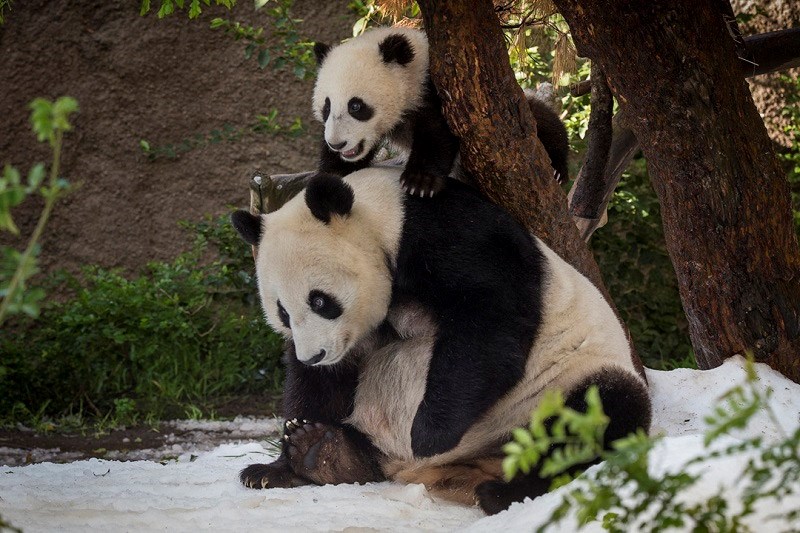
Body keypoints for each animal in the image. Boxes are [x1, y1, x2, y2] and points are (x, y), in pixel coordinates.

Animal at [231, 167, 651, 514]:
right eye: (283, 312)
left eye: (320, 301)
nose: (315, 354)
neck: (382, 218)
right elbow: (321, 382)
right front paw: (279, 462)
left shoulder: (454, 236)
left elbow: (490, 321)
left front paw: (429, 435)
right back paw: (325, 453)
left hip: (556, 387)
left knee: (602, 415)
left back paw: (505, 493)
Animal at [313, 26, 570, 196]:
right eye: (327, 106)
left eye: (356, 106)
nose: (337, 144)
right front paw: (333, 171)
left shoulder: (440, 89)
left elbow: (437, 132)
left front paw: (419, 181)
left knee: (543, 120)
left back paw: (557, 169)